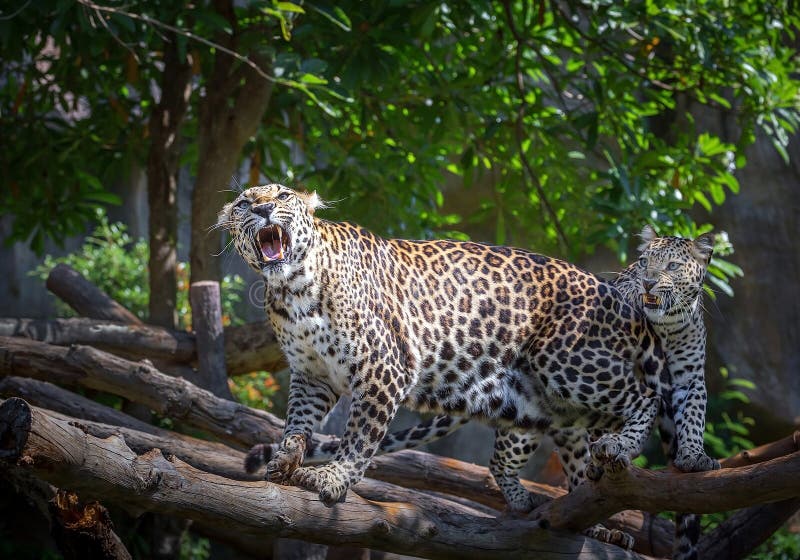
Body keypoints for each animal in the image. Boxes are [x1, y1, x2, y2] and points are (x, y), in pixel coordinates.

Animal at [219, 184, 669, 535]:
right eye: (243, 202)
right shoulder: (313, 374)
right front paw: (285, 460)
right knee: (558, 451)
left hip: (569, 361)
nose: (262, 209)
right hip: (538, 404)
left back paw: (621, 447)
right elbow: (298, 422)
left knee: (644, 398)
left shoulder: (385, 368)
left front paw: (332, 478)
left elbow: (359, 437)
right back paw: (581, 514)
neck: (293, 289)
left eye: (283, 196)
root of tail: (615, 292)